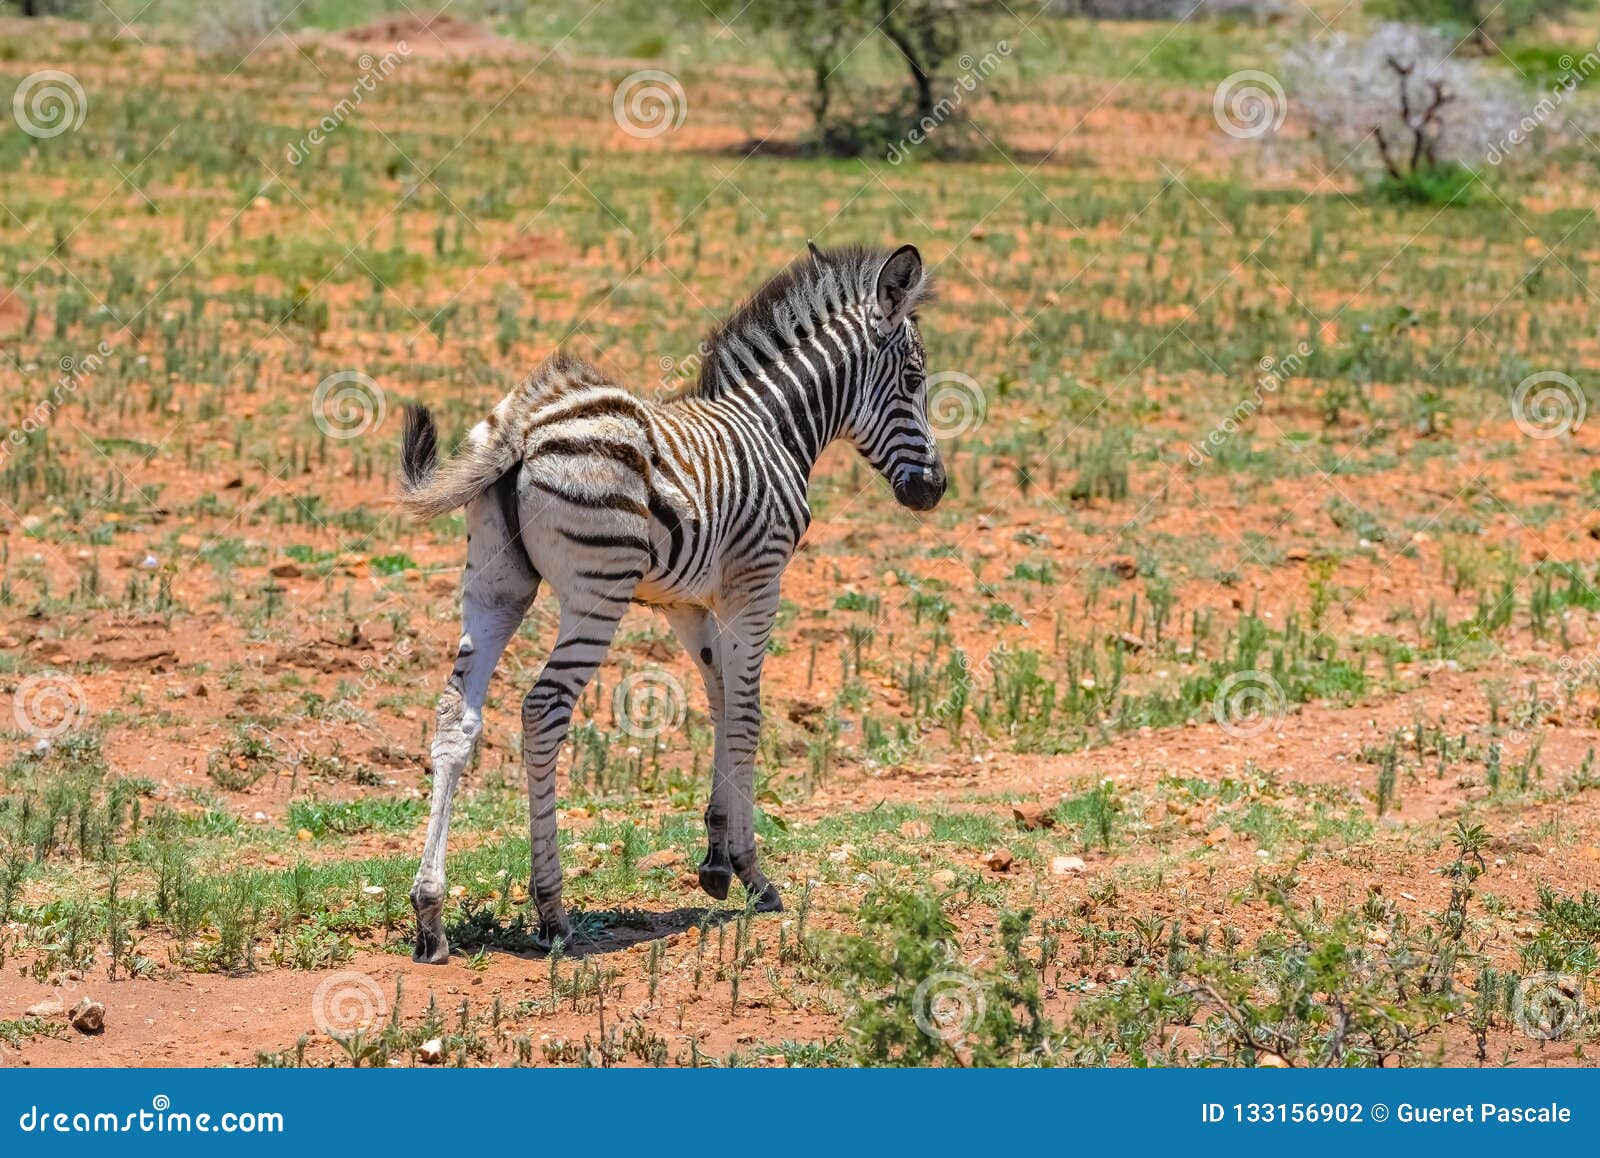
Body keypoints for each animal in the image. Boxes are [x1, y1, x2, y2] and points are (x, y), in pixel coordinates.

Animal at [397, 243, 944, 963]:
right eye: (913, 377)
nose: (935, 490)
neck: (775, 429)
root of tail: (523, 424)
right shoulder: (756, 583)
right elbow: (747, 716)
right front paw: (753, 874)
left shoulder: (687, 602)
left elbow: (720, 701)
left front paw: (716, 862)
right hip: (597, 592)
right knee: (543, 712)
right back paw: (553, 911)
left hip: (495, 587)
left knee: (453, 716)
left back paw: (430, 916)